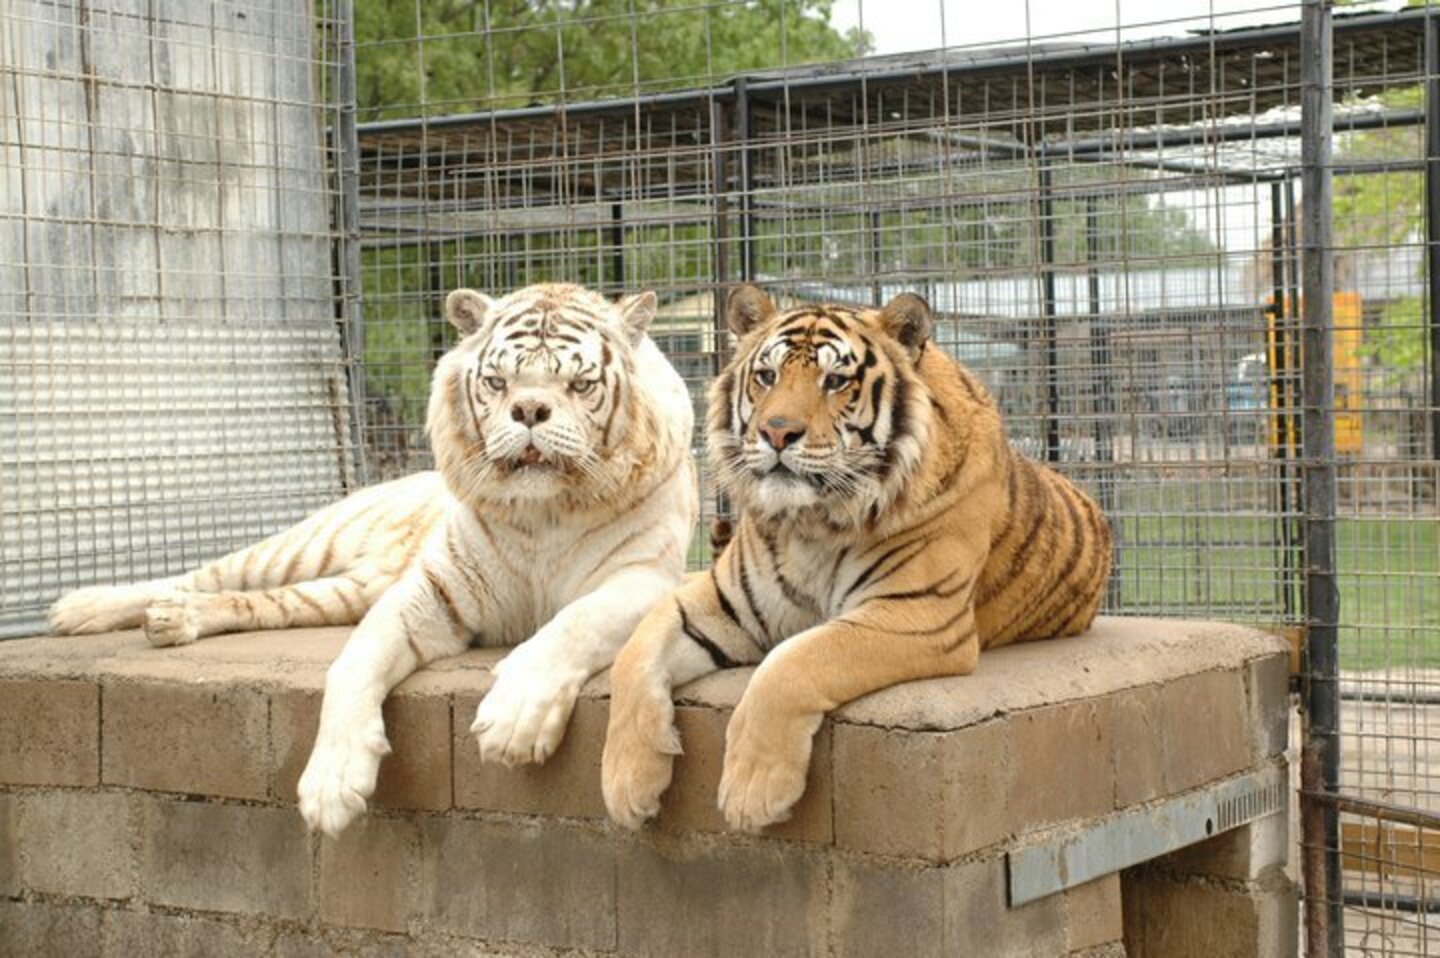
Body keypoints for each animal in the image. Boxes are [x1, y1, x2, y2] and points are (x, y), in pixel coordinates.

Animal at [48, 282, 699, 838]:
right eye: (497, 382)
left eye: (579, 386)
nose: (530, 412)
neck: (544, 516)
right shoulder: (430, 590)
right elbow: (353, 661)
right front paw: (331, 785)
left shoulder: (642, 578)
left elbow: (571, 625)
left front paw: (513, 720)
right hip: (303, 548)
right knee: (205, 572)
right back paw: (81, 608)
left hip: (337, 591)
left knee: (250, 601)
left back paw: (170, 620)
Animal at [601, 285, 1111, 833]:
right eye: (767, 376)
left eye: (835, 381)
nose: (776, 433)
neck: (812, 523)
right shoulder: (721, 600)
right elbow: (636, 652)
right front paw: (626, 786)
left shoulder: (916, 613)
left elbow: (794, 660)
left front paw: (753, 792)